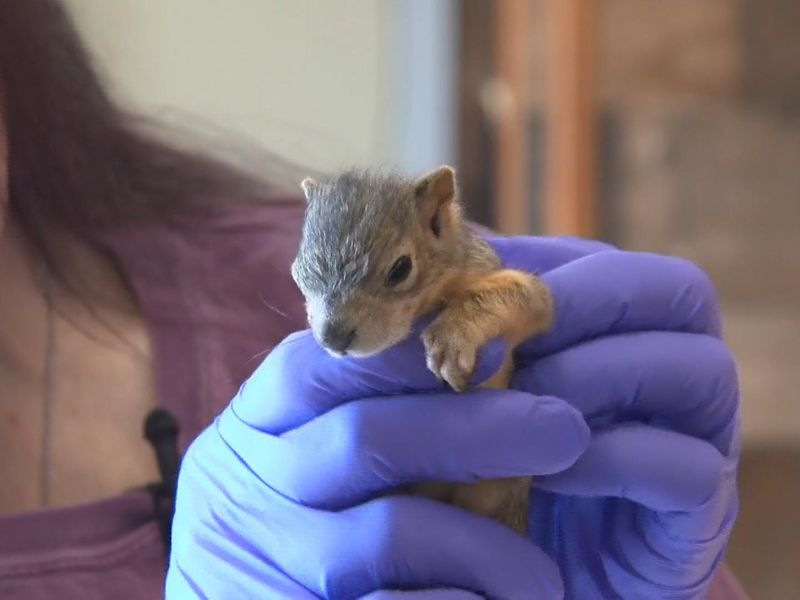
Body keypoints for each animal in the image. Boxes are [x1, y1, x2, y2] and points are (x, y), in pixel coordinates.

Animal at [290, 165, 554, 534]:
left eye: (401, 269)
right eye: (297, 273)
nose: (332, 338)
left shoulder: (506, 282)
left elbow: (518, 295)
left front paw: (453, 337)